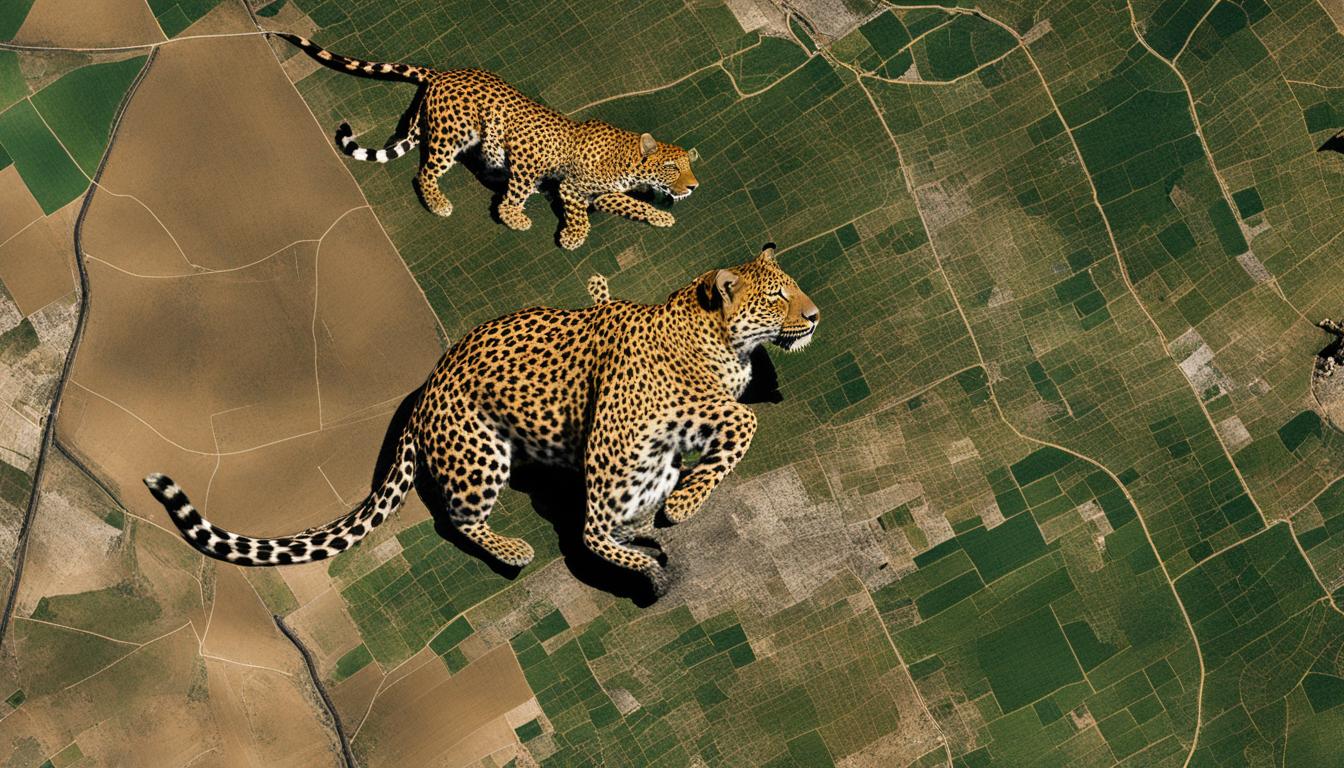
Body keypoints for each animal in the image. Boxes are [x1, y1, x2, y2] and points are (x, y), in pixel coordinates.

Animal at [143, 244, 819, 596]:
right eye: (777, 297)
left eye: (795, 288)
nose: (813, 316)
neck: (716, 338)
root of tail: (423, 393)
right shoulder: (685, 414)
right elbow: (743, 429)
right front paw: (685, 506)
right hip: (490, 454)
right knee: (521, 524)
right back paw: (530, 549)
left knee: (605, 524)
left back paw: (643, 543)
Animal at [275, 33, 699, 250]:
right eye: (671, 167)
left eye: (688, 167)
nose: (694, 186)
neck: (626, 160)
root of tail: (442, 74)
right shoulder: (573, 188)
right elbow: (579, 214)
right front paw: (572, 237)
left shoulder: (603, 193)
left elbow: (631, 204)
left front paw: (660, 216)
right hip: (459, 138)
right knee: (430, 175)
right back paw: (468, 208)